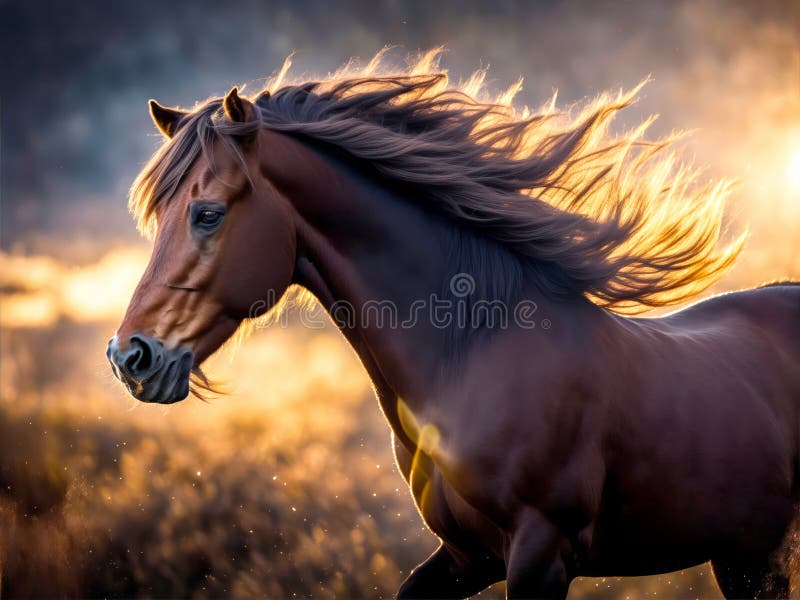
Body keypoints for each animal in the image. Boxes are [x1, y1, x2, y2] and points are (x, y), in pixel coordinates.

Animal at [107, 51, 800, 599]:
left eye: (207, 213)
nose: (130, 357)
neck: (471, 354)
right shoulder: (467, 558)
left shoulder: (542, 554)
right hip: (746, 557)